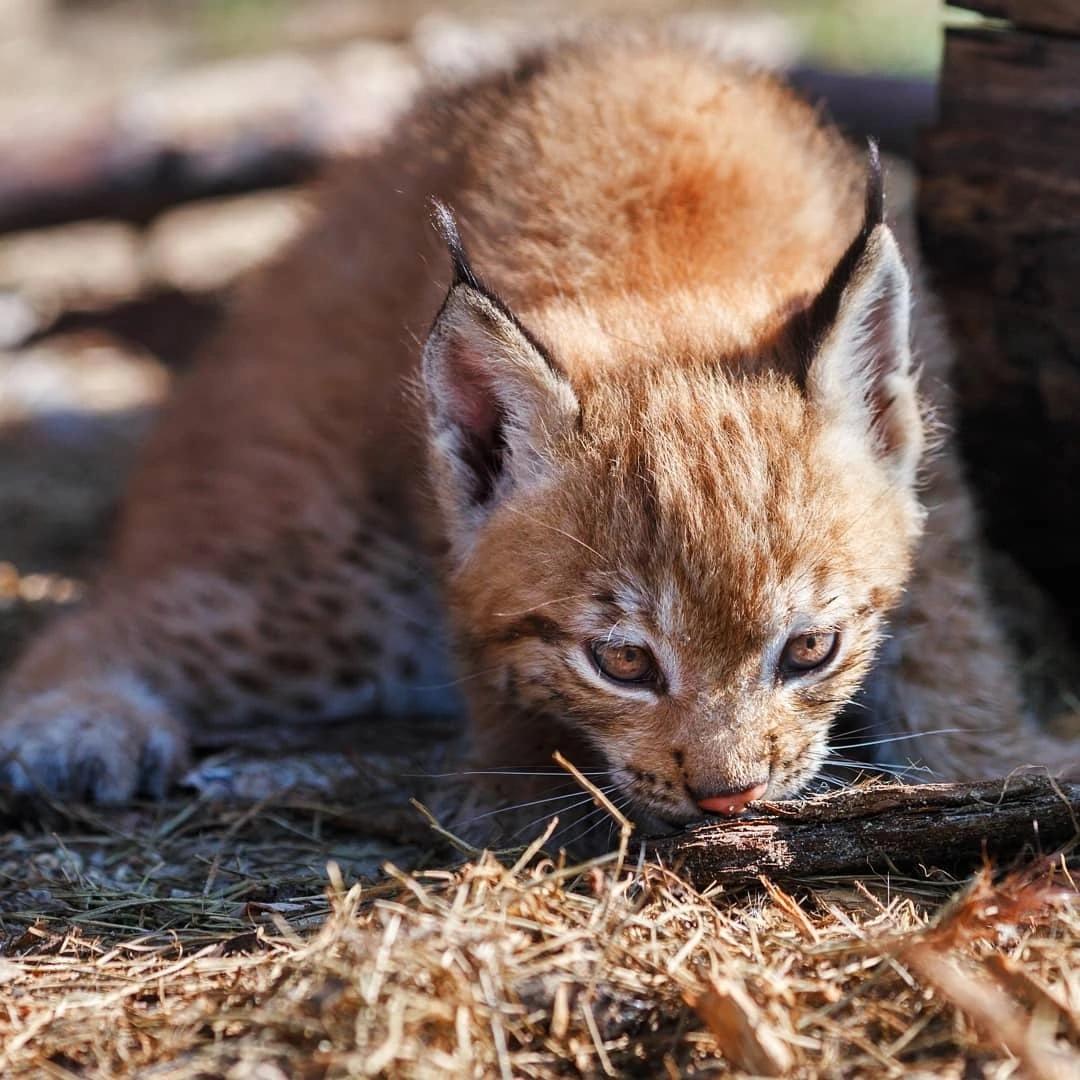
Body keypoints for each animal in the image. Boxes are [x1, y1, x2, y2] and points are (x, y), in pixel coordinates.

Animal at [0, 33, 1075, 838]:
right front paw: (515, 797)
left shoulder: (937, 477)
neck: (671, 270)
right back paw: (72, 723)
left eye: (810, 648)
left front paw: (992, 760)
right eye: (624, 662)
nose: (727, 796)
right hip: (345, 594)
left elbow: (951, 632)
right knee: (101, 620)